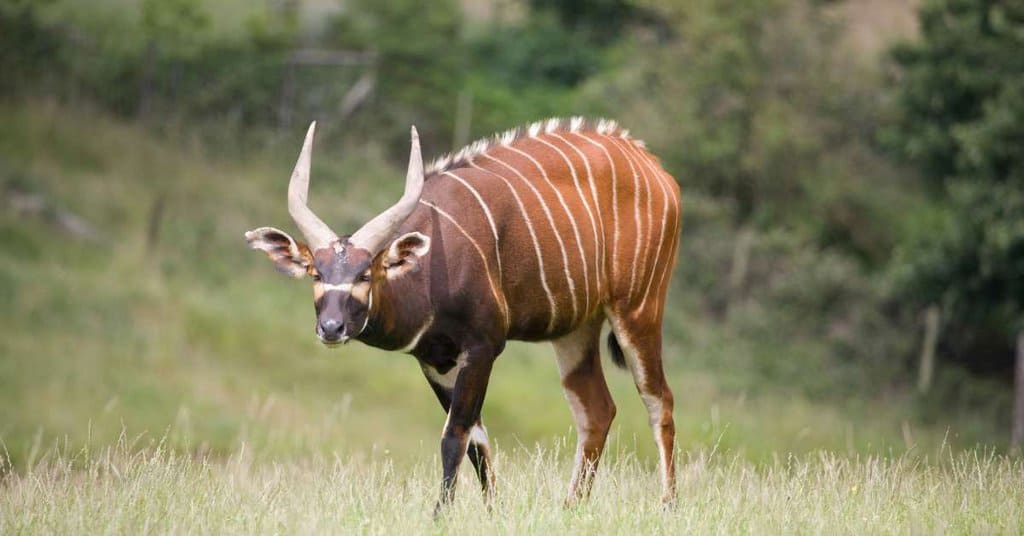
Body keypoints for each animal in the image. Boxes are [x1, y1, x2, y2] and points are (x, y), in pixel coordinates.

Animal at [245, 118, 681, 511]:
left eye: (365, 273)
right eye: (317, 273)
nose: (331, 327)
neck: (431, 264)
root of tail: (658, 171)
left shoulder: (482, 346)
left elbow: (455, 434)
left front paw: (442, 515)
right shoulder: (435, 360)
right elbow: (476, 441)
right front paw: (493, 513)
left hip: (639, 309)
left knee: (658, 399)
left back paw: (668, 505)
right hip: (575, 330)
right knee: (597, 410)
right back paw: (571, 507)